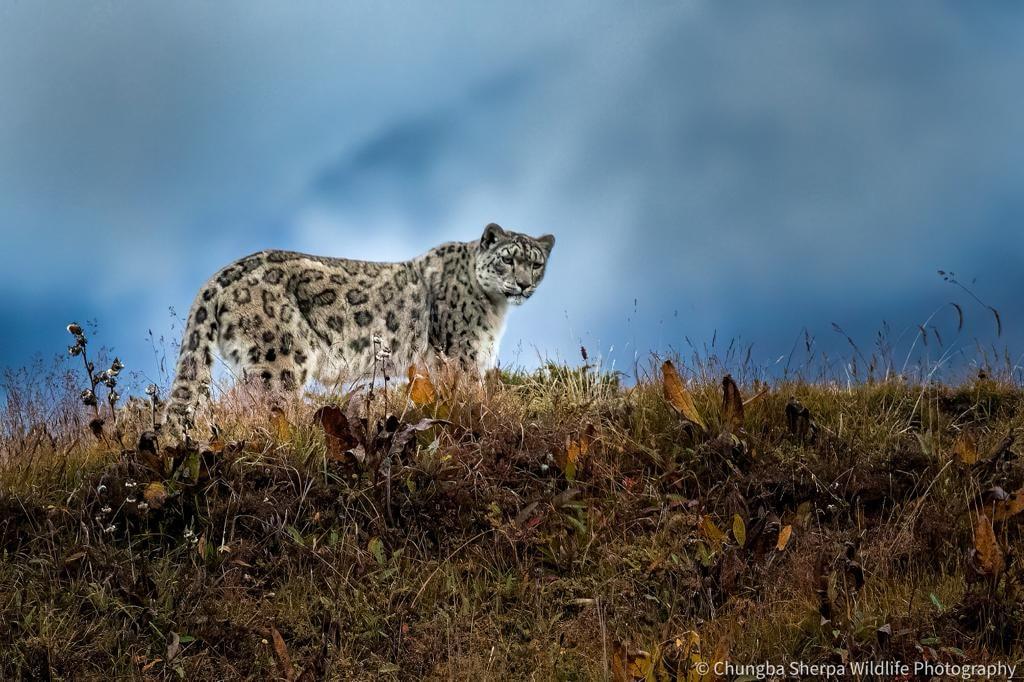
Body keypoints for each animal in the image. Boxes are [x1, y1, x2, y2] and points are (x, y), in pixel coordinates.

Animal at [163, 223, 554, 433]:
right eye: (508, 259)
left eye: (536, 264)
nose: (523, 284)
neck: (496, 309)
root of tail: (218, 277)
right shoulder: (462, 352)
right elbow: (470, 397)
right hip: (281, 360)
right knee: (257, 407)